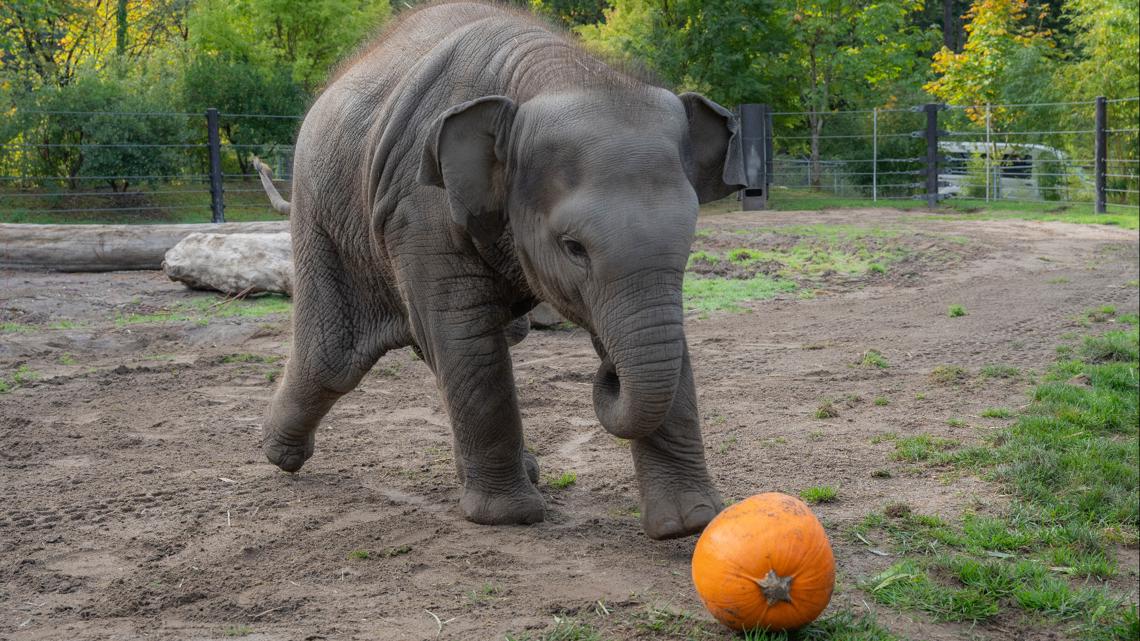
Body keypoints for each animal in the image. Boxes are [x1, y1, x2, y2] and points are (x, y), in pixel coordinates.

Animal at [255, 1, 745, 540]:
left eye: (688, 240)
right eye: (573, 247)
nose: (608, 373)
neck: (564, 74)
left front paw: (689, 523)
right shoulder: (420, 205)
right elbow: (463, 332)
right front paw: (509, 516)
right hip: (324, 216)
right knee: (334, 357)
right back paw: (279, 455)